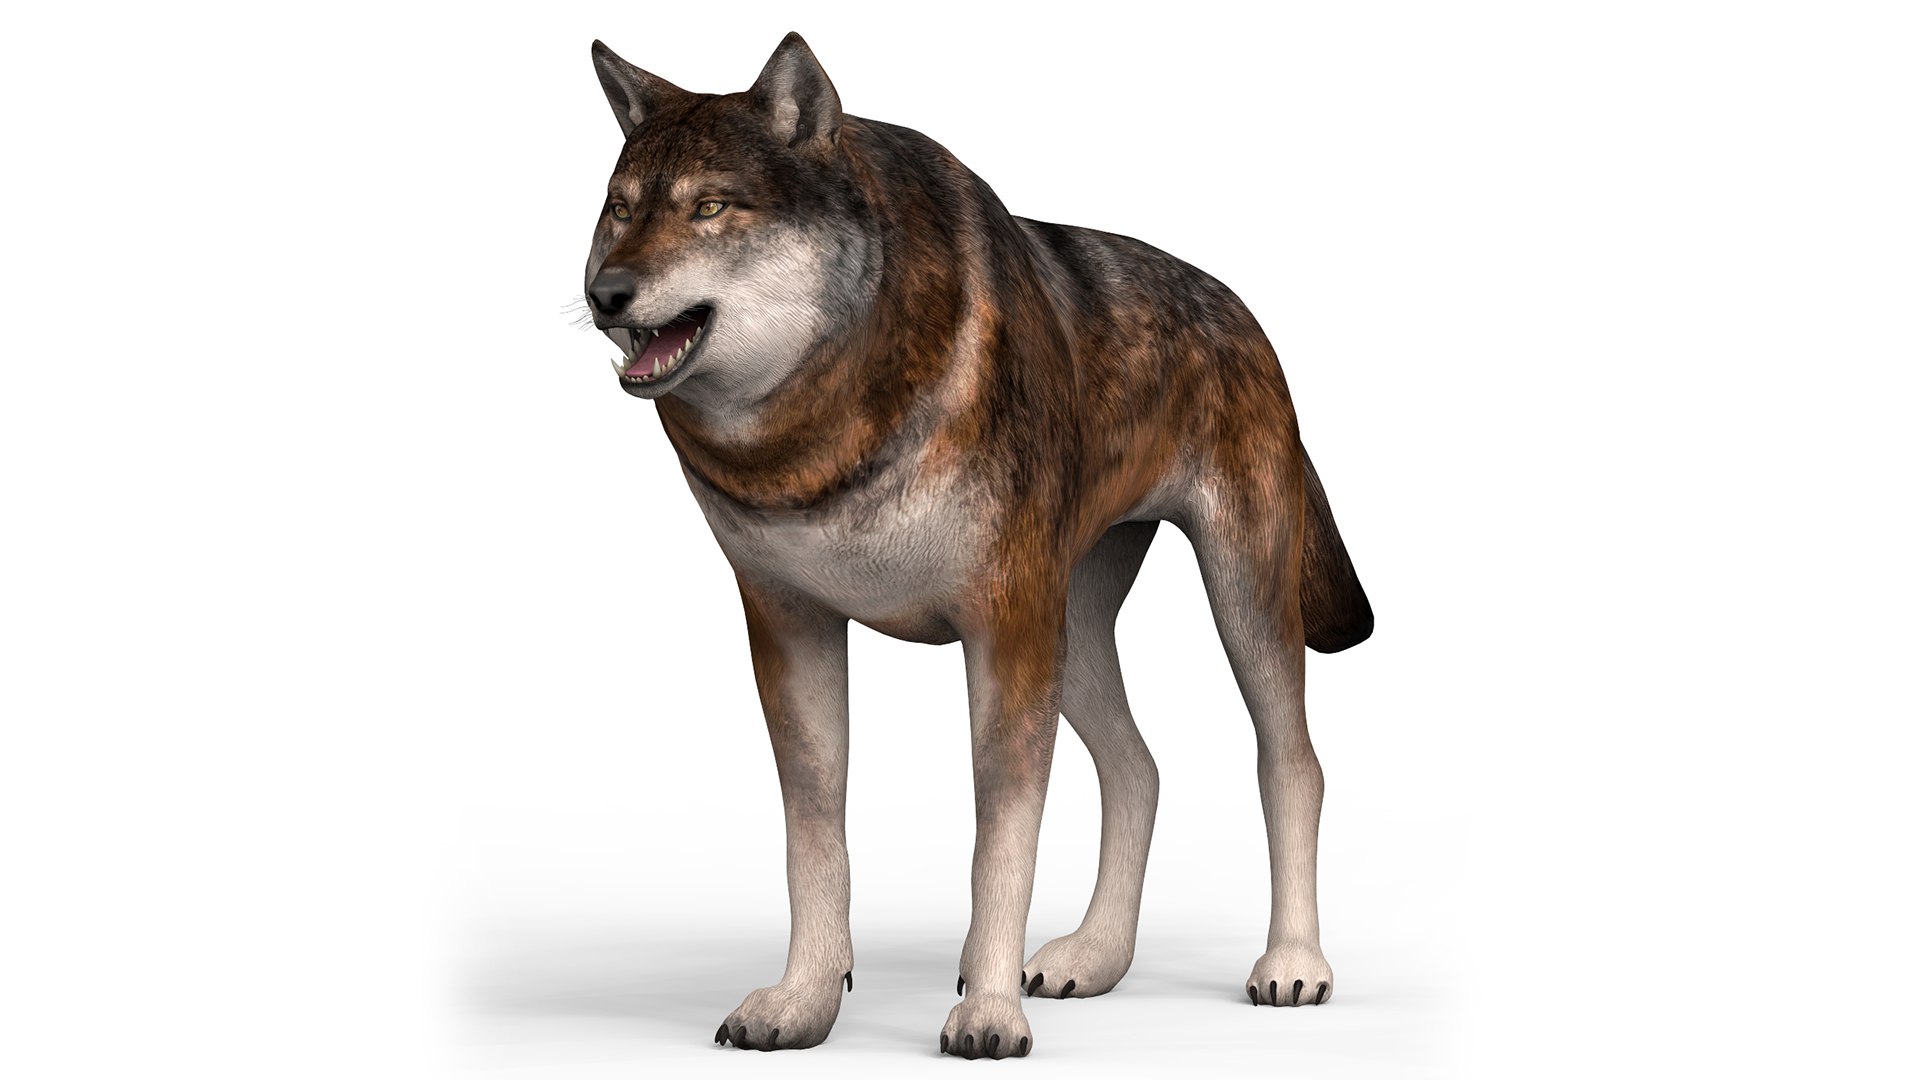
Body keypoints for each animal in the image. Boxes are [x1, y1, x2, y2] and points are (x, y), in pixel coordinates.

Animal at [582, 32, 1374, 1059]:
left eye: (709, 207)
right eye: (619, 210)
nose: (603, 294)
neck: (823, 426)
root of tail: (1241, 312)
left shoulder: (1002, 632)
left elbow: (1001, 840)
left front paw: (988, 1011)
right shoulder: (791, 629)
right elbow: (814, 835)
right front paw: (803, 1000)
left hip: (1231, 604)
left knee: (1293, 763)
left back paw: (1293, 964)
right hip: (1072, 638)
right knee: (1140, 767)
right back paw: (1094, 957)